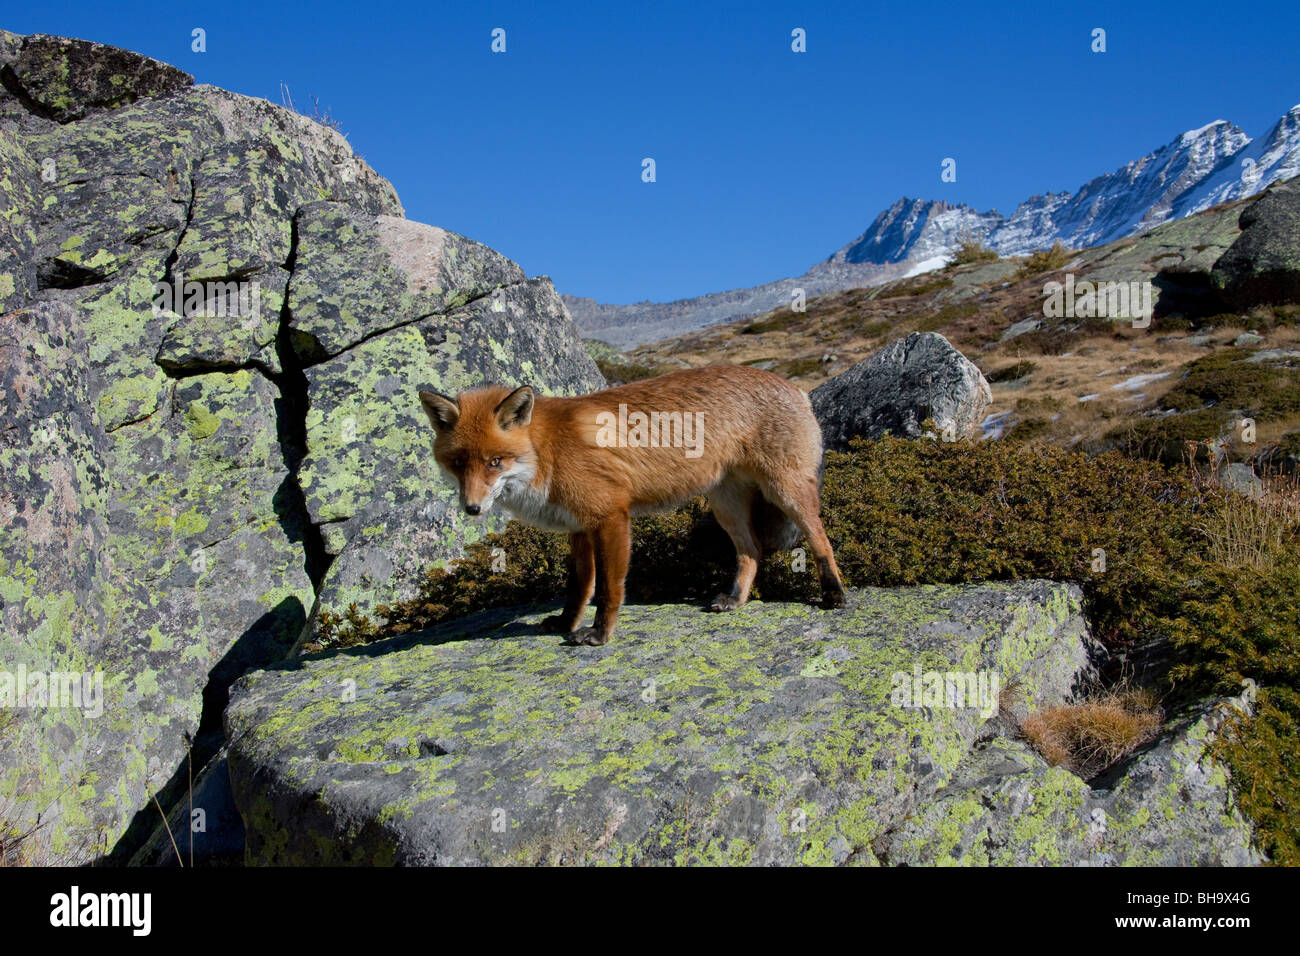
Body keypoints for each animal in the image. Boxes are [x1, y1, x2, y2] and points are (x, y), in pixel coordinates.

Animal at [418, 365, 846, 646]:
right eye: (458, 463)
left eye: (495, 462)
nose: (472, 509)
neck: (547, 450)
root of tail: (795, 388)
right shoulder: (579, 527)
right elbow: (579, 587)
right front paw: (565, 624)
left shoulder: (610, 516)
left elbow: (609, 588)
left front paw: (598, 634)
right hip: (725, 505)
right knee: (751, 551)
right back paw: (735, 600)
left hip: (785, 491)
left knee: (820, 537)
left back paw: (835, 594)